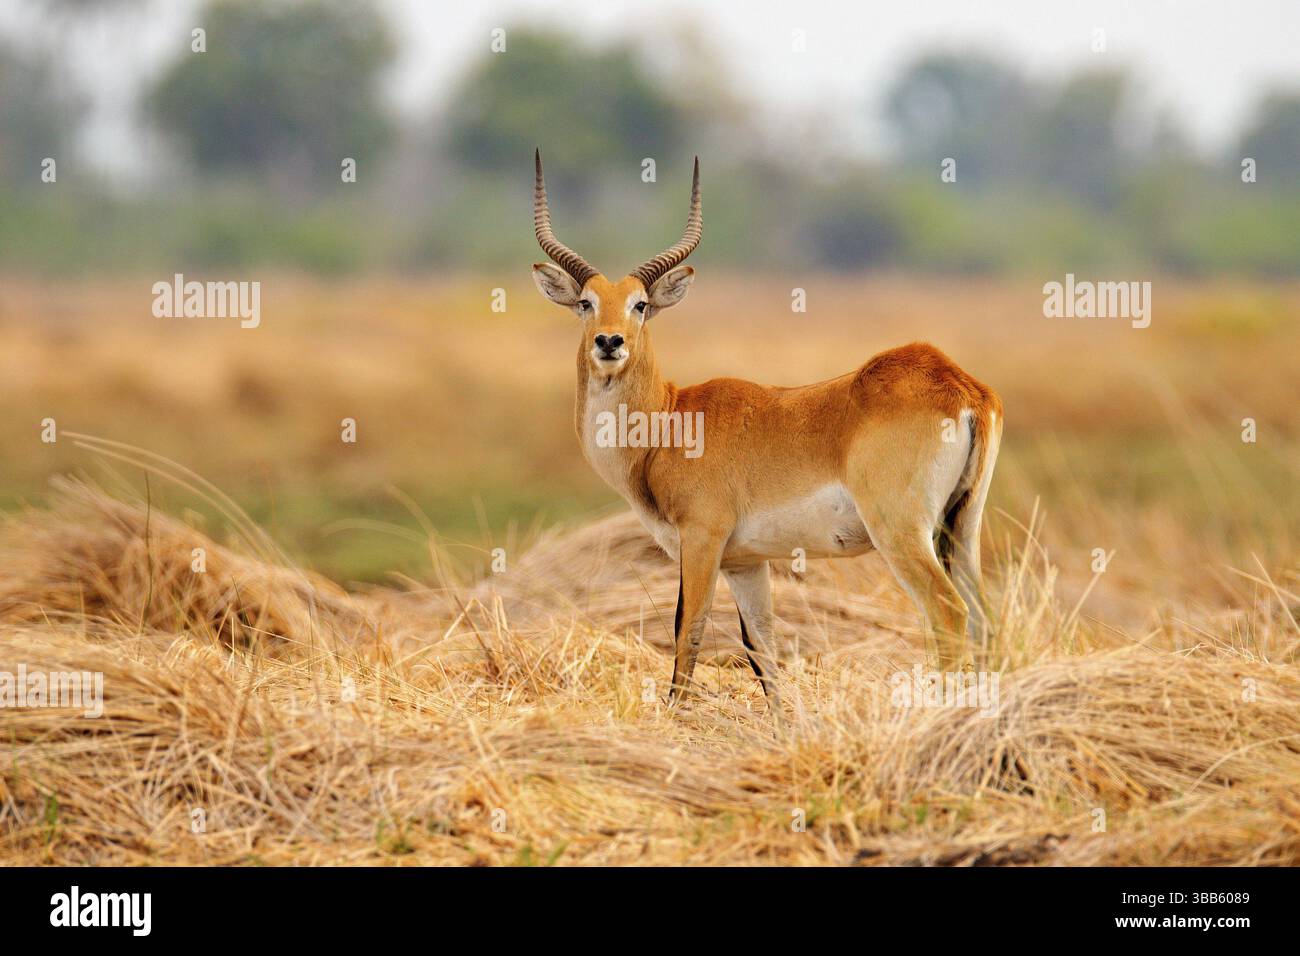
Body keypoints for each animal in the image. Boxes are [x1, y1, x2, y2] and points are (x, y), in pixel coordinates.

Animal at [530, 150, 1003, 713]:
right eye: (586, 301)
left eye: (639, 304)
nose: (609, 342)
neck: (668, 421)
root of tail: (958, 382)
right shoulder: (745, 563)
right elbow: (763, 650)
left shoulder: (702, 539)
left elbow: (687, 633)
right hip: (961, 527)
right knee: (983, 621)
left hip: (901, 532)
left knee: (948, 614)